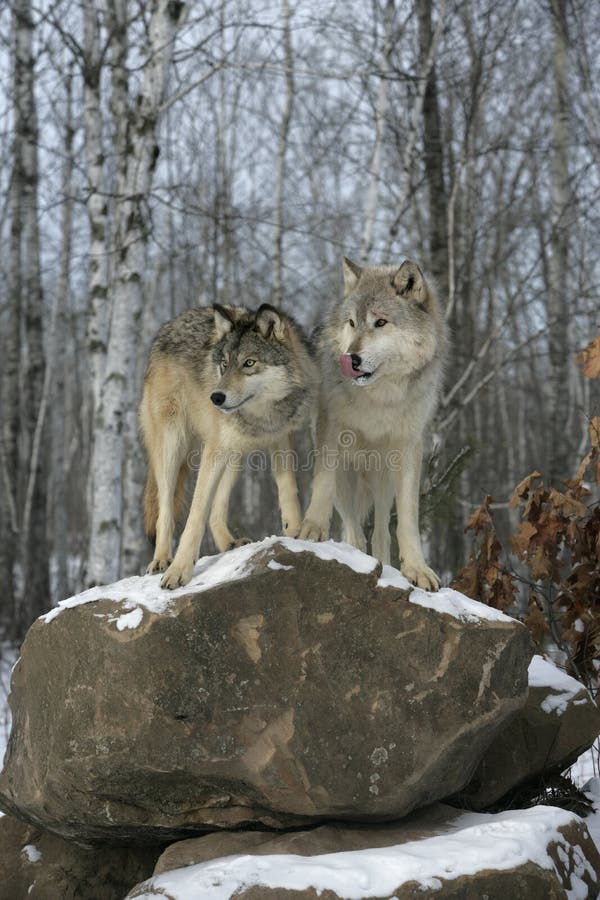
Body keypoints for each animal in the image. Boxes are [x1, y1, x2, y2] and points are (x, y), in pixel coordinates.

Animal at [140, 303, 316, 590]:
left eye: (249, 363)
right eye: (224, 365)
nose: (216, 397)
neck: (261, 416)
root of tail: (171, 324)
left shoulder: (280, 437)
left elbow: (288, 490)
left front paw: (295, 533)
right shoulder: (214, 448)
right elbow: (195, 514)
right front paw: (179, 570)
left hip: (235, 453)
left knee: (216, 508)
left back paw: (228, 543)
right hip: (172, 447)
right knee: (165, 511)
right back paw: (161, 560)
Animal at [299, 258, 448, 589]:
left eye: (380, 322)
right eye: (352, 323)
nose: (350, 358)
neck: (379, 398)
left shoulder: (409, 448)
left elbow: (407, 520)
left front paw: (417, 569)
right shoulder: (331, 436)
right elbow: (322, 487)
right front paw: (311, 530)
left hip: (383, 478)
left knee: (380, 532)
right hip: (348, 476)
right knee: (354, 528)